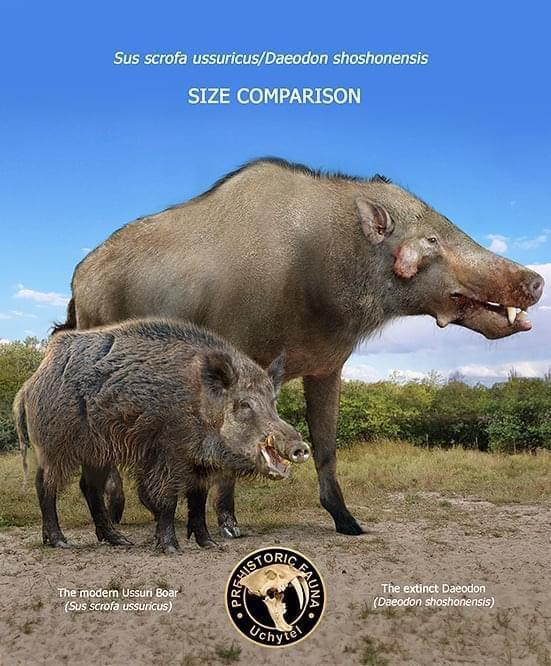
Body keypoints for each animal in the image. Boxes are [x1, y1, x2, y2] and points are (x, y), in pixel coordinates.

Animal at [13, 319, 310, 553]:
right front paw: (171, 548)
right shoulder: (168, 452)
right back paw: (60, 542)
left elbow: (198, 502)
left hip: (97, 452)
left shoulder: (199, 463)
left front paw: (211, 545)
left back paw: (120, 541)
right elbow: (168, 498)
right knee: (45, 484)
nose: (300, 447)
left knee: (89, 488)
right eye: (245, 404)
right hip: (54, 445)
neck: (200, 405)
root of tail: (29, 385)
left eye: (273, 402)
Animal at [54, 158, 544, 536]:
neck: (318, 276)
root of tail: (78, 281)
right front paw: (227, 523)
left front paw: (347, 520)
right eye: (431, 239)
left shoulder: (327, 368)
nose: (536, 281)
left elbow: (325, 447)